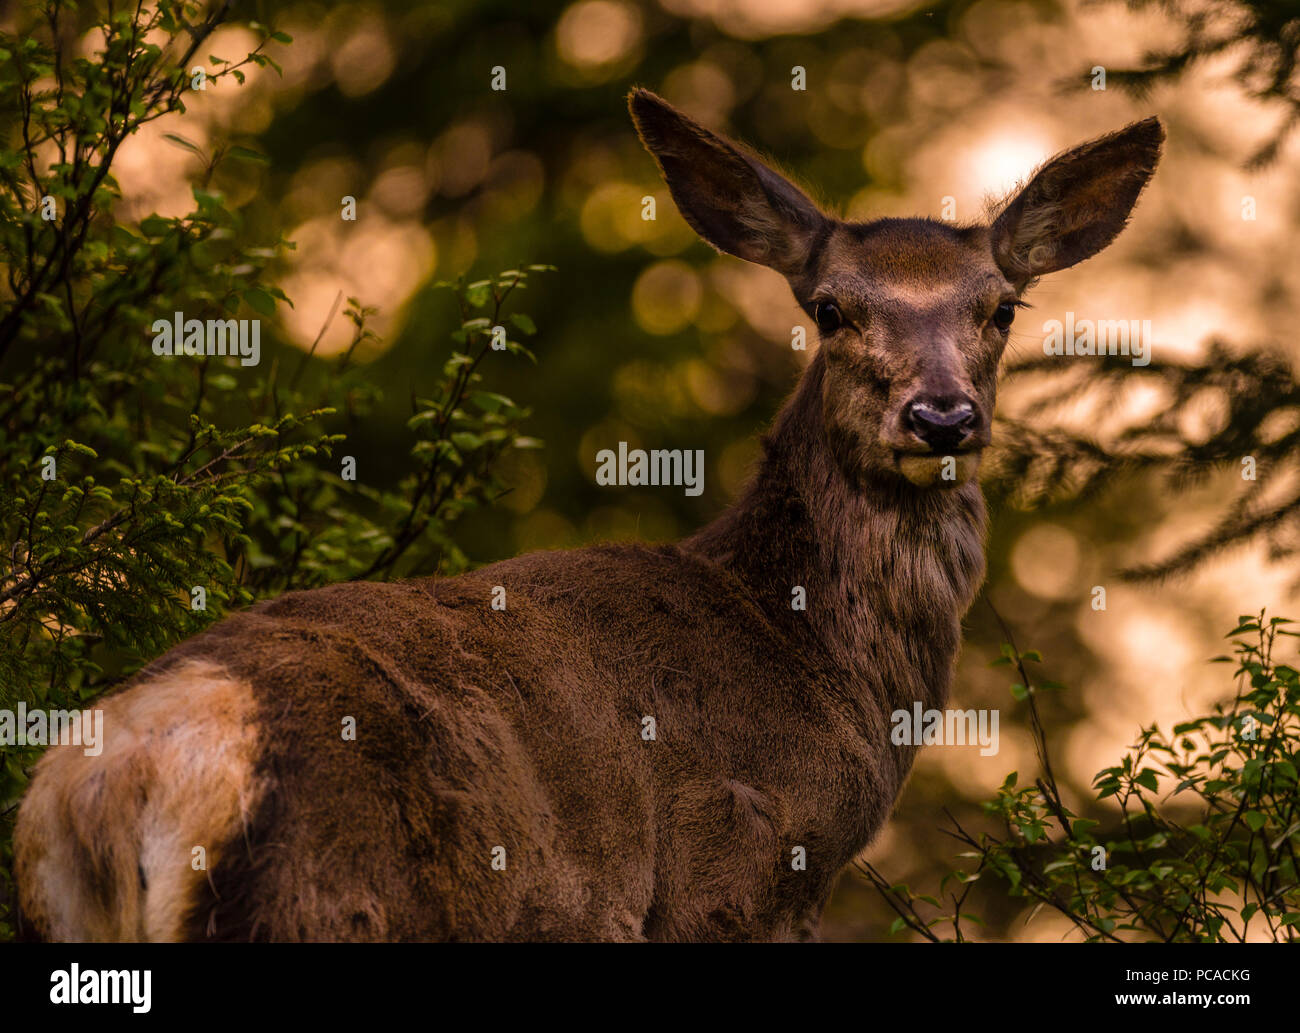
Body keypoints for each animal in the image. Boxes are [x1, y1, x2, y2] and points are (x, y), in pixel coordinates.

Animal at [13, 90, 1163, 942]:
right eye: (830, 309)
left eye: (1001, 307)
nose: (942, 415)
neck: (816, 670)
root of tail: (118, 784)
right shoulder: (726, 867)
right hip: (336, 899)